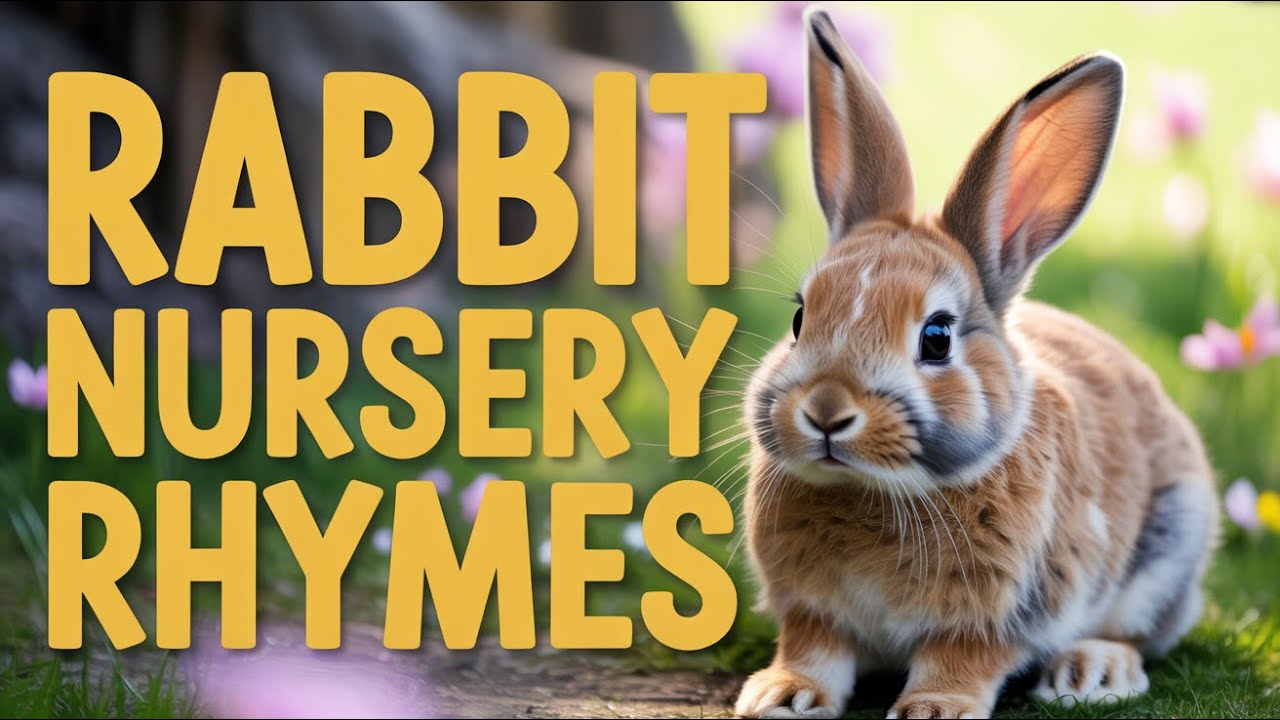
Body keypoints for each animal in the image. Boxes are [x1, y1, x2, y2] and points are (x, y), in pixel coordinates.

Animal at [734, 8, 1218, 719]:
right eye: (800, 319)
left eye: (937, 338)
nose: (825, 411)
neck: (878, 491)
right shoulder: (815, 612)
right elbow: (814, 648)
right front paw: (782, 694)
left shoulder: (996, 614)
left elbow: (960, 659)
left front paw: (934, 708)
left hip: (1171, 542)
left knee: (1135, 631)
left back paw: (1092, 672)